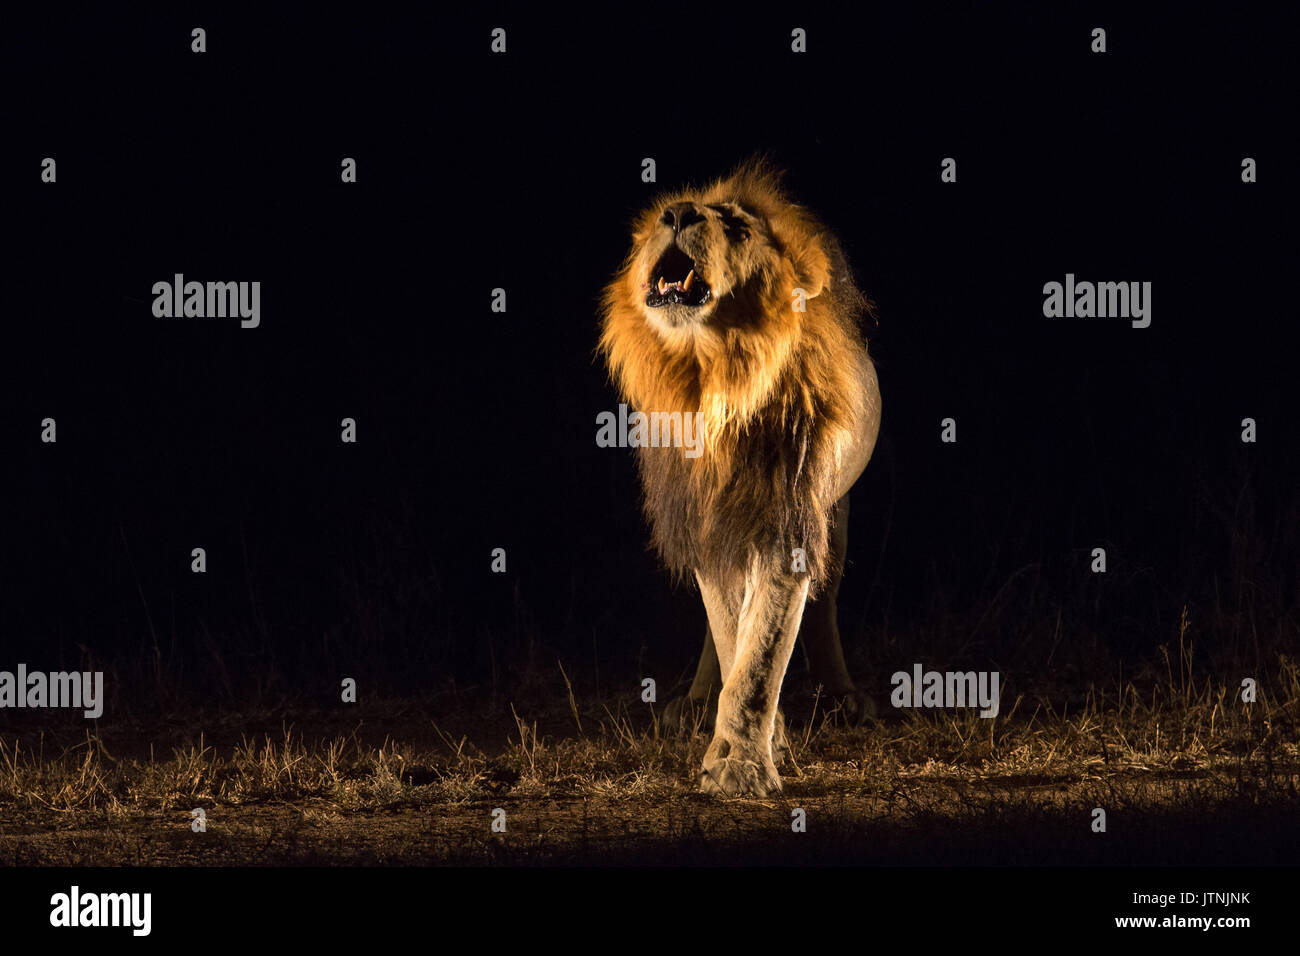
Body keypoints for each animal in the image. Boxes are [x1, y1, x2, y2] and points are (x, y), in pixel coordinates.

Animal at [599, 159, 882, 797]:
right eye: (665, 212)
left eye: (735, 225)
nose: (677, 213)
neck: (712, 374)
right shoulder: (705, 518)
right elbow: (732, 638)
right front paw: (753, 742)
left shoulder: (788, 522)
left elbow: (761, 654)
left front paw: (743, 766)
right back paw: (698, 704)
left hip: (839, 513)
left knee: (825, 607)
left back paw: (843, 700)